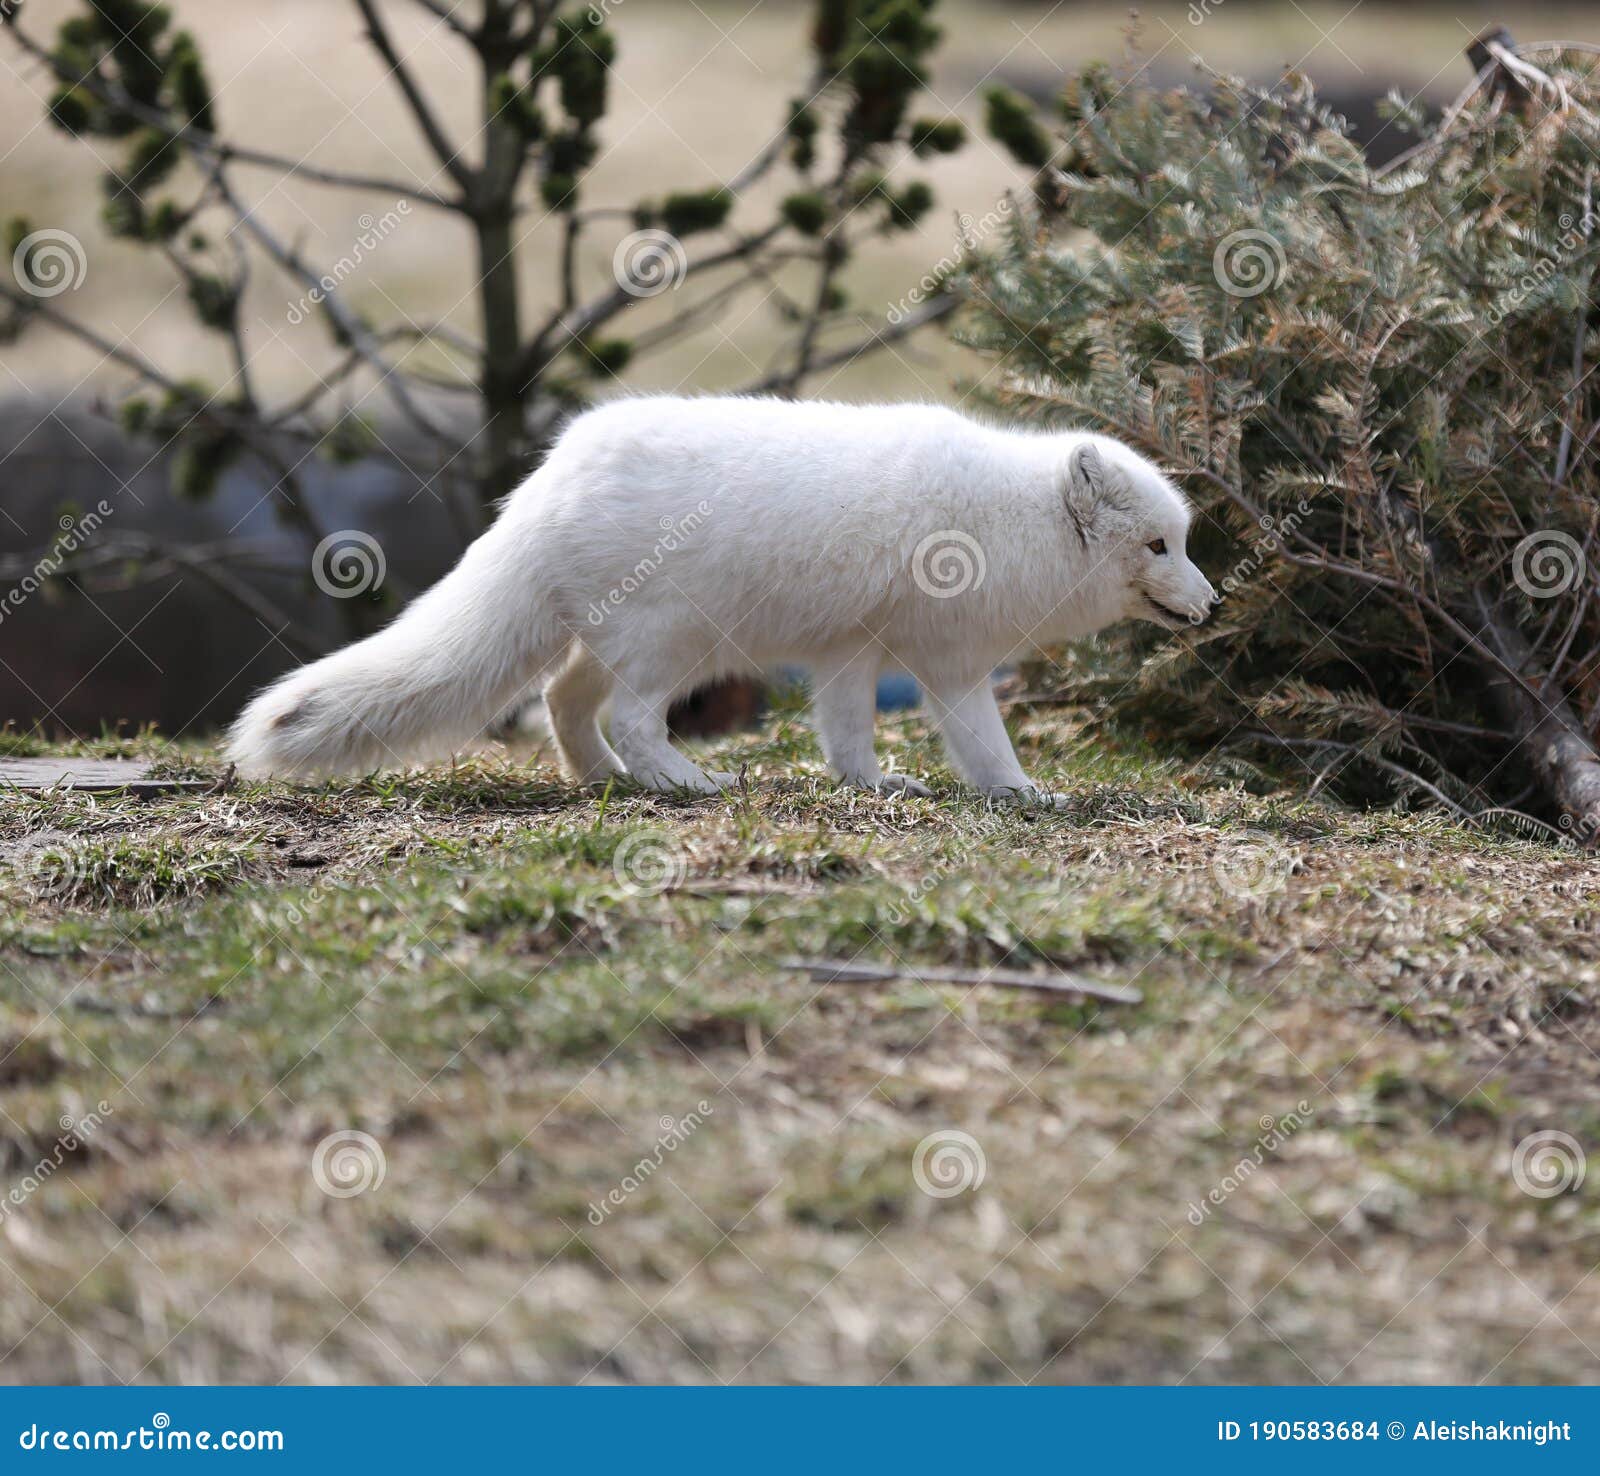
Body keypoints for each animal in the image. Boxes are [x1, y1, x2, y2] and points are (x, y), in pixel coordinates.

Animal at [228, 395, 1217, 806]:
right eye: (1159, 545)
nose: (1210, 605)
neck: (1006, 518)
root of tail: (544, 487)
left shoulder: (851, 652)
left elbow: (848, 736)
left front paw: (871, 786)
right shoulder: (946, 664)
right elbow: (984, 743)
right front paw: (1023, 794)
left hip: (610, 643)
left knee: (563, 702)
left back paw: (603, 781)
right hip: (678, 645)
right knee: (630, 718)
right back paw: (683, 781)